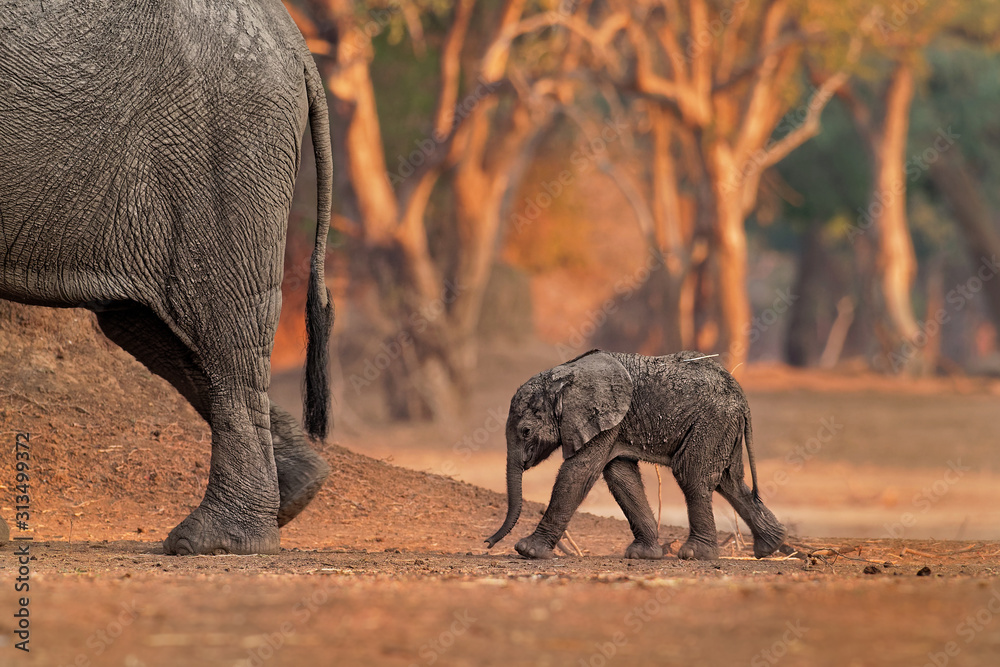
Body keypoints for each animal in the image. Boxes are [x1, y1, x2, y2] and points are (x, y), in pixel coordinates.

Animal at [0, 0, 334, 555]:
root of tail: (295, 40)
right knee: (156, 329)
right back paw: (299, 490)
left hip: (225, 148)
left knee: (219, 324)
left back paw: (214, 541)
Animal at [485, 350, 786, 560]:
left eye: (525, 431)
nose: (487, 542)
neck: (567, 375)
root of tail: (742, 398)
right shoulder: (611, 423)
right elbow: (620, 477)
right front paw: (643, 555)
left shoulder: (605, 418)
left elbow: (579, 472)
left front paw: (527, 551)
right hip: (724, 427)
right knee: (729, 481)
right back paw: (769, 547)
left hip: (712, 422)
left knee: (692, 475)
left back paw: (695, 555)